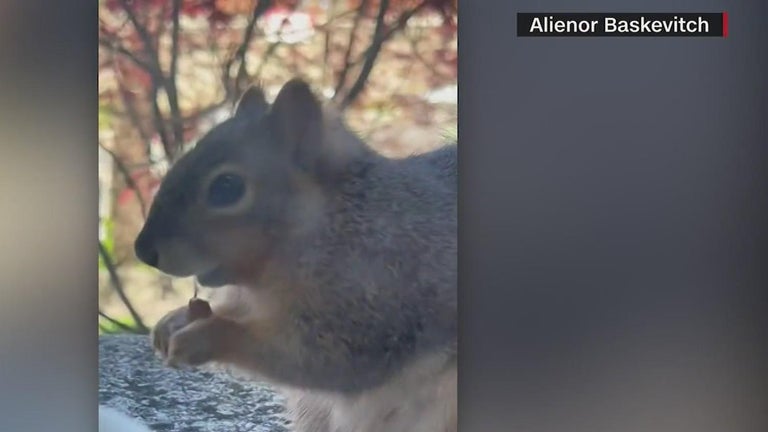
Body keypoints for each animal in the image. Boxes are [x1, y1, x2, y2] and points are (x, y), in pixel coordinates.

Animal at [135, 78, 457, 432]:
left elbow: (319, 359)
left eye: (227, 187)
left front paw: (209, 336)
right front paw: (174, 320)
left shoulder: (376, 300)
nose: (143, 251)